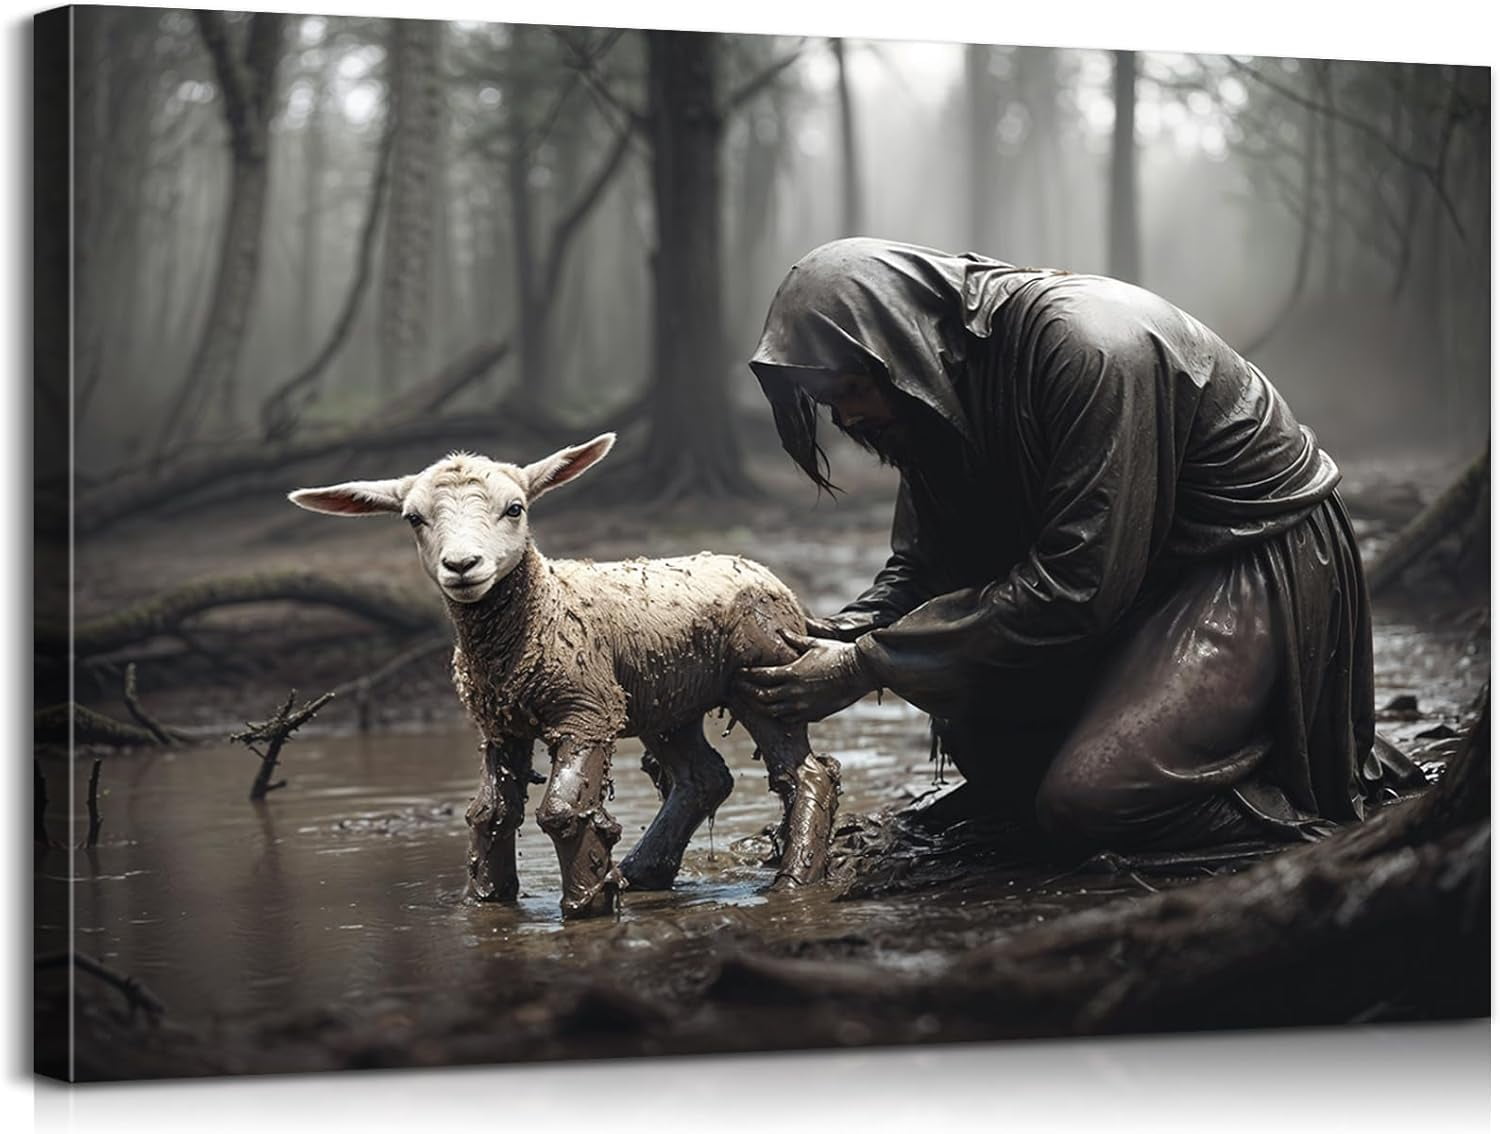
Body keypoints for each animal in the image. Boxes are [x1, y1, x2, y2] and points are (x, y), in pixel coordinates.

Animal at [289, 433, 840, 919]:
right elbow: (490, 813)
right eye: (413, 518)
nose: (462, 565)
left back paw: (794, 879)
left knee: (804, 774)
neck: (541, 609)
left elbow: (563, 810)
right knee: (702, 779)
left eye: (515, 509)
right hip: (667, 702)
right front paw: (487, 899)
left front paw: (585, 904)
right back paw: (641, 872)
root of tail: (764, 573)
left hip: (766, 677)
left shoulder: (586, 707)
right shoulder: (498, 723)